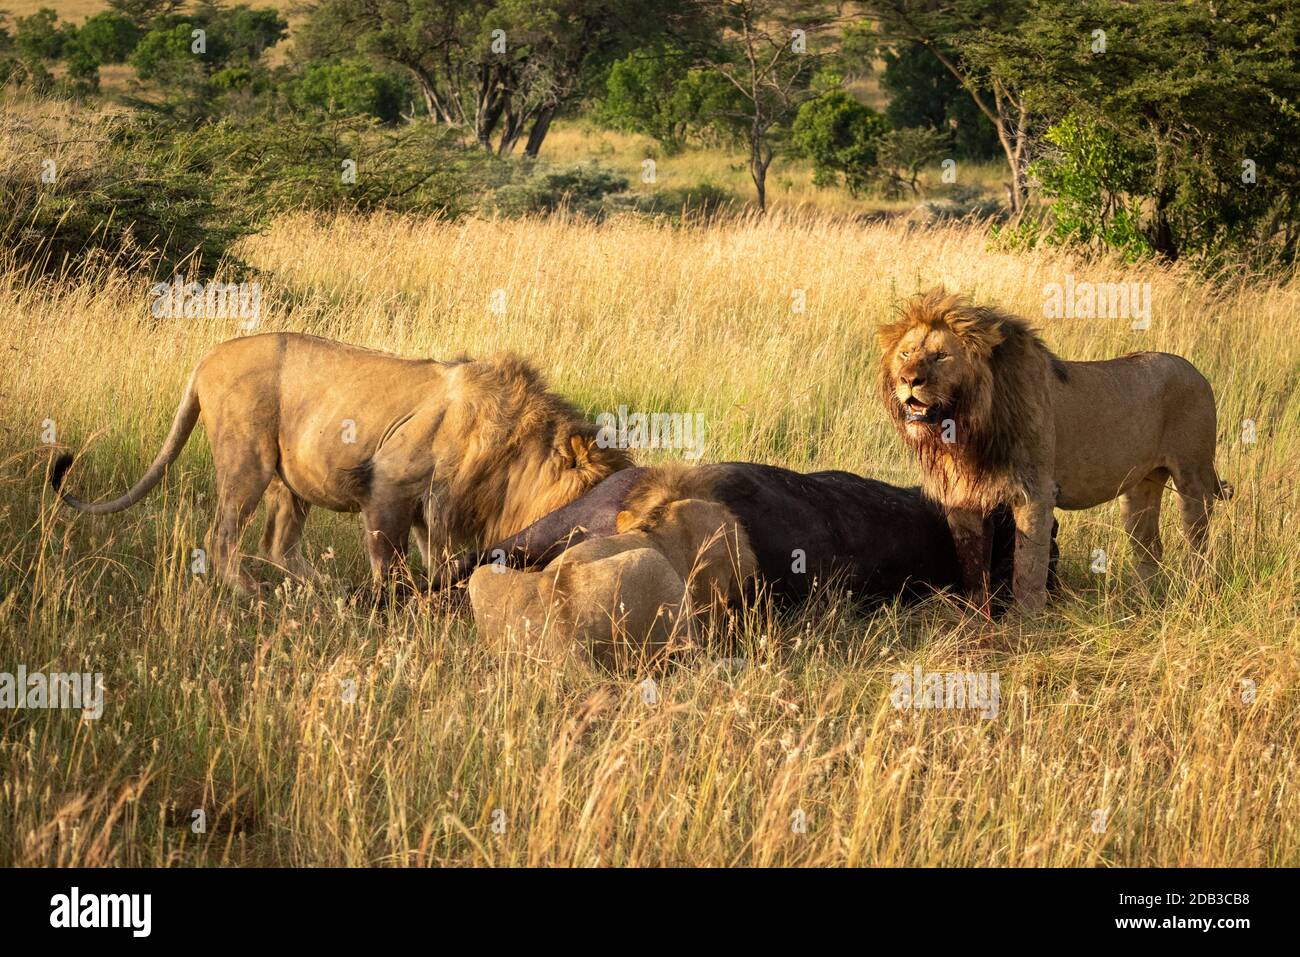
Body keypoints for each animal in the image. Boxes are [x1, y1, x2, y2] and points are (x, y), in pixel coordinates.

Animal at [49, 332, 631, 593]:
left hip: (291, 482)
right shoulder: (391, 486)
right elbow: (389, 560)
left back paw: (320, 591)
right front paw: (389, 604)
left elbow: (437, 561)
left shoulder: (436, 510)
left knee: (278, 546)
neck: (513, 453)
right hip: (247, 461)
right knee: (224, 537)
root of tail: (207, 356)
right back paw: (250, 593)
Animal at [877, 288, 1230, 611]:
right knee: (1149, 549)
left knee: (1199, 547)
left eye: (941, 356)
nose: (909, 380)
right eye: (906, 354)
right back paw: (1143, 607)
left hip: (1193, 479)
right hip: (1140, 489)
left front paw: (1025, 624)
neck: (964, 427)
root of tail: (1196, 372)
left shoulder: (1035, 493)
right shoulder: (962, 500)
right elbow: (973, 571)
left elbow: (1028, 569)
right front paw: (976, 620)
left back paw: (1196, 598)